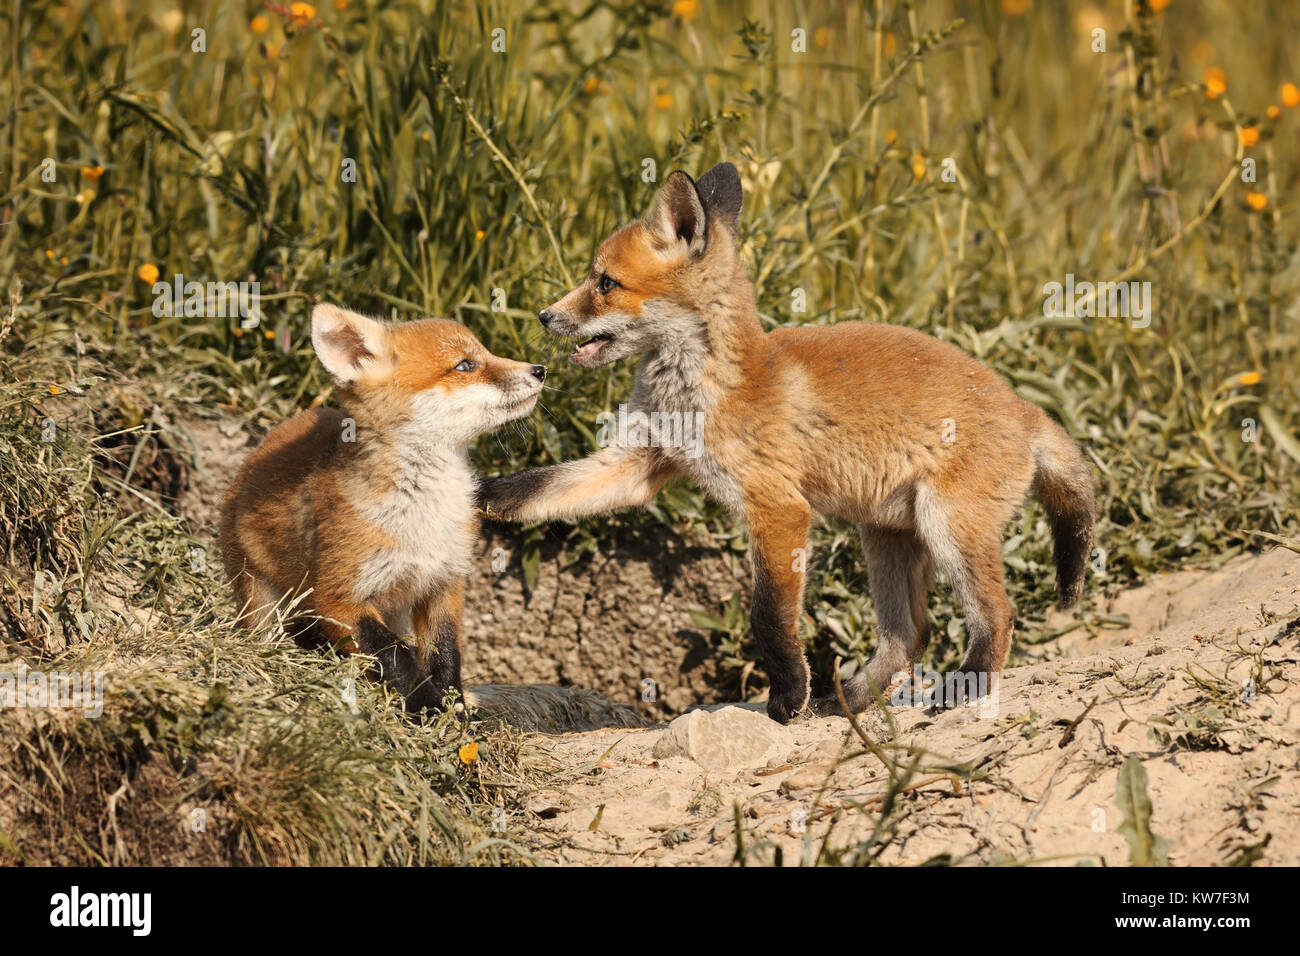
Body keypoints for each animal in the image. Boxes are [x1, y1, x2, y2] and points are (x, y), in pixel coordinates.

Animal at [221, 303, 547, 712]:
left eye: (484, 353)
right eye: (465, 365)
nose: (540, 369)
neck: (424, 517)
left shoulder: (444, 582)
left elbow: (444, 653)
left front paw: (454, 706)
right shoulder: (339, 597)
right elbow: (396, 656)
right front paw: (429, 709)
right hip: (263, 600)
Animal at [479, 162, 1095, 724]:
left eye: (604, 283)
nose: (544, 316)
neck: (703, 390)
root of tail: (1023, 407)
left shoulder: (778, 509)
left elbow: (769, 617)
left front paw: (787, 697)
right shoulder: (638, 463)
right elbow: (538, 489)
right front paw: (482, 495)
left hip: (947, 527)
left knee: (998, 614)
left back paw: (966, 685)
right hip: (887, 537)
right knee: (909, 636)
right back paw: (847, 703)